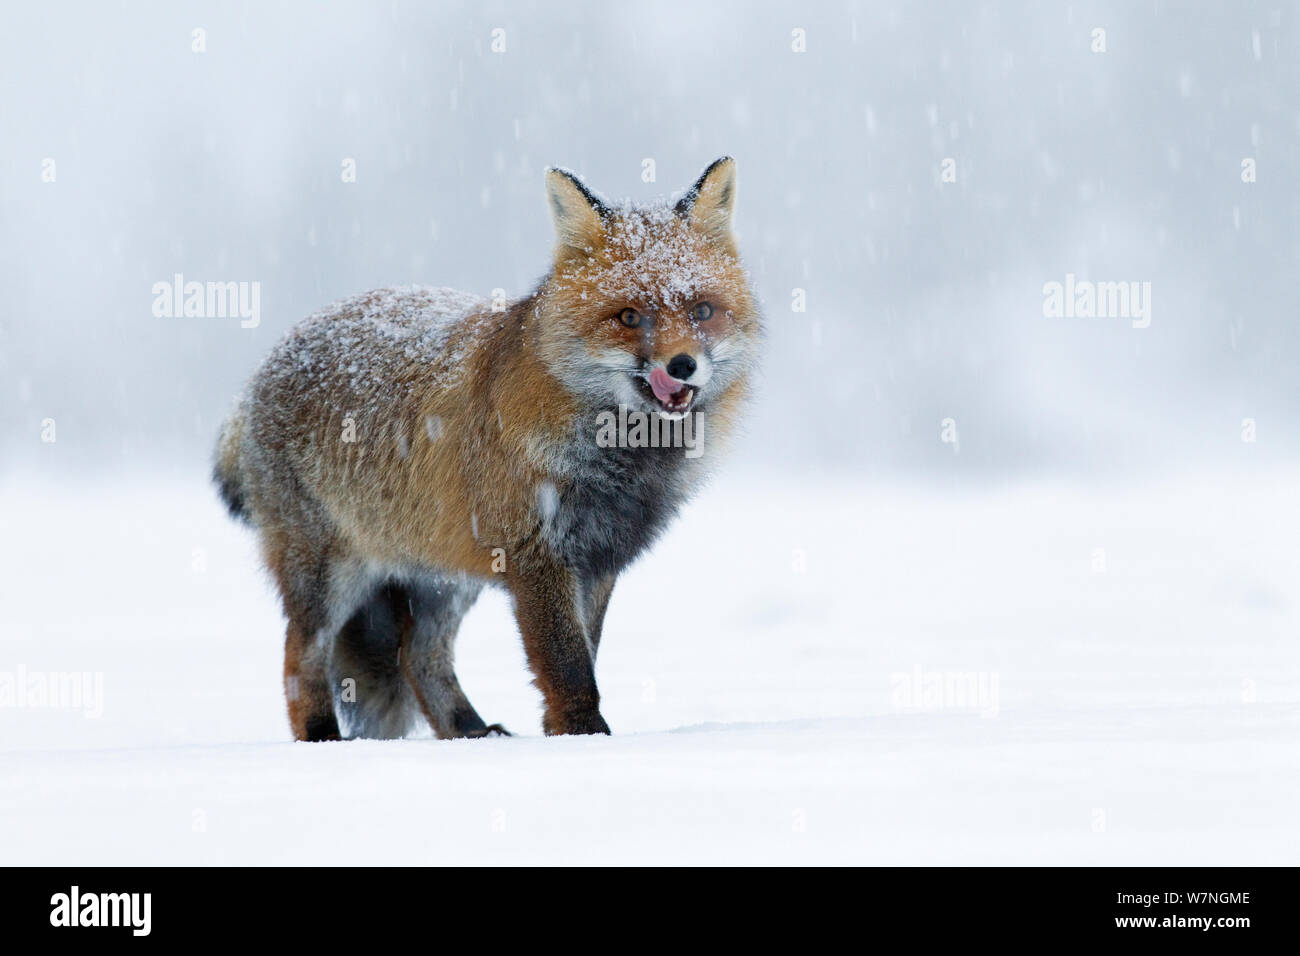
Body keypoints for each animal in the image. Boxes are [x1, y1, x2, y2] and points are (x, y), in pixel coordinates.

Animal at [214, 157, 762, 740]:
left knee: (419, 656)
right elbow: (568, 664)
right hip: (327, 573)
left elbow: (585, 653)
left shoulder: (597, 557)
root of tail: (254, 379)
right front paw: (586, 734)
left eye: (703, 310)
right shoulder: (536, 552)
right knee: (300, 659)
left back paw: (469, 732)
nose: (682, 365)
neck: (618, 456)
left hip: (442, 577)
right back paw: (324, 739)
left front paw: (561, 733)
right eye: (630, 317)